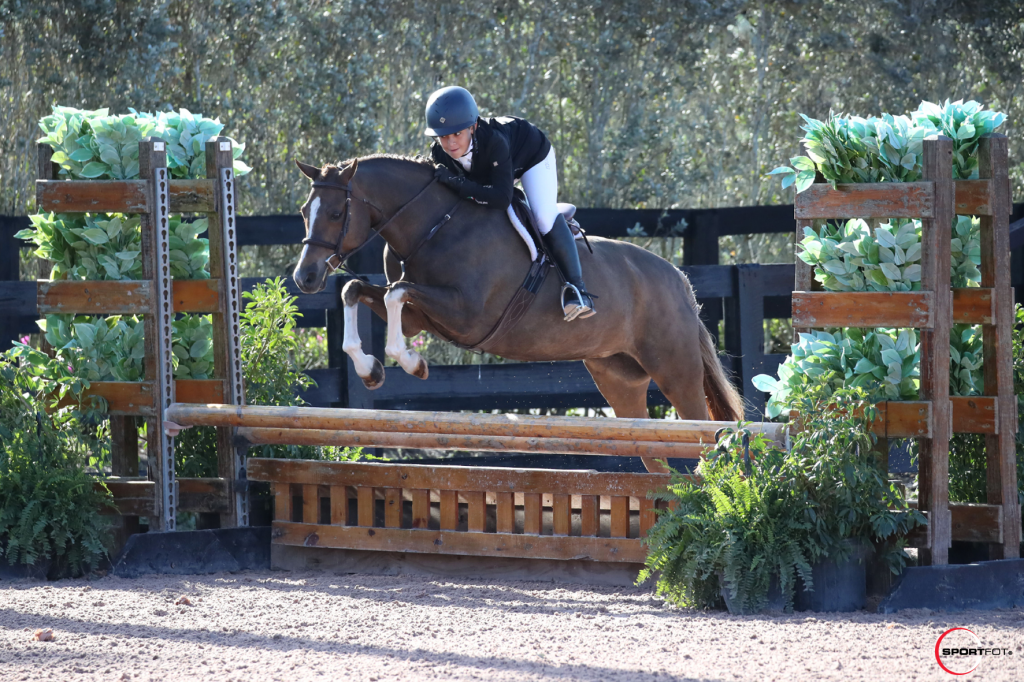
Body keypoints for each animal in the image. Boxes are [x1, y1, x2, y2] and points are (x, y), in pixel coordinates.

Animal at [291, 155, 743, 473]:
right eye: (303, 211)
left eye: (336, 213)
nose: (305, 277)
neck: (434, 225)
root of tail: (679, 281)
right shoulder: (424, 315)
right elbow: (357, 290)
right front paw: (370, 369)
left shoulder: (467, 315)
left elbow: (396, 294)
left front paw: (411, 362)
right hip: (619, 379)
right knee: (656, 459)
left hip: (676, 372)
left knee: (706, 443)